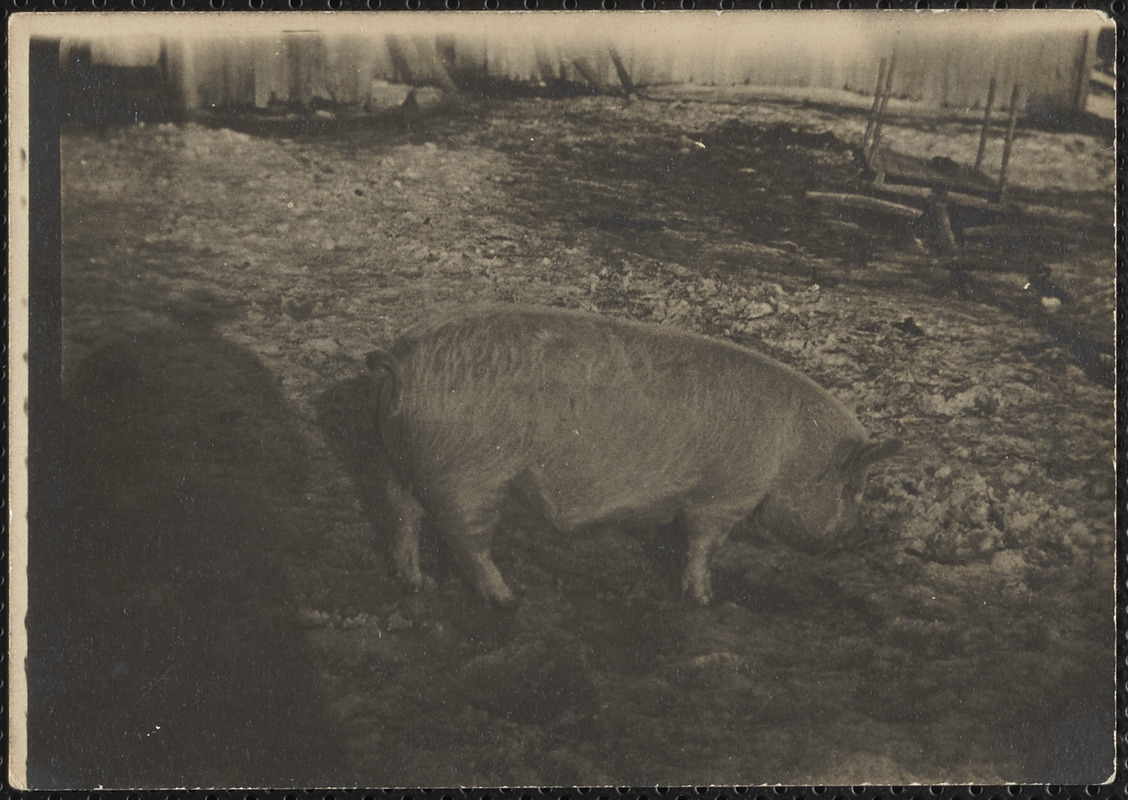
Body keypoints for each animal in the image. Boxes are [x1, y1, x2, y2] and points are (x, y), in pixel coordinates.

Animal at [366, 304, 899, 606]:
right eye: (852, 489)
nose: (860, 537)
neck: (792, 455)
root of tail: (399, 364)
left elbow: (674, 539)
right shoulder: (726, 495)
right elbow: (705, 545)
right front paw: (703, 600)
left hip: (396, 466)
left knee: (401, 520)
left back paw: (418, 586)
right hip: (472, 475)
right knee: (466, 540)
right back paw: (506, 599)